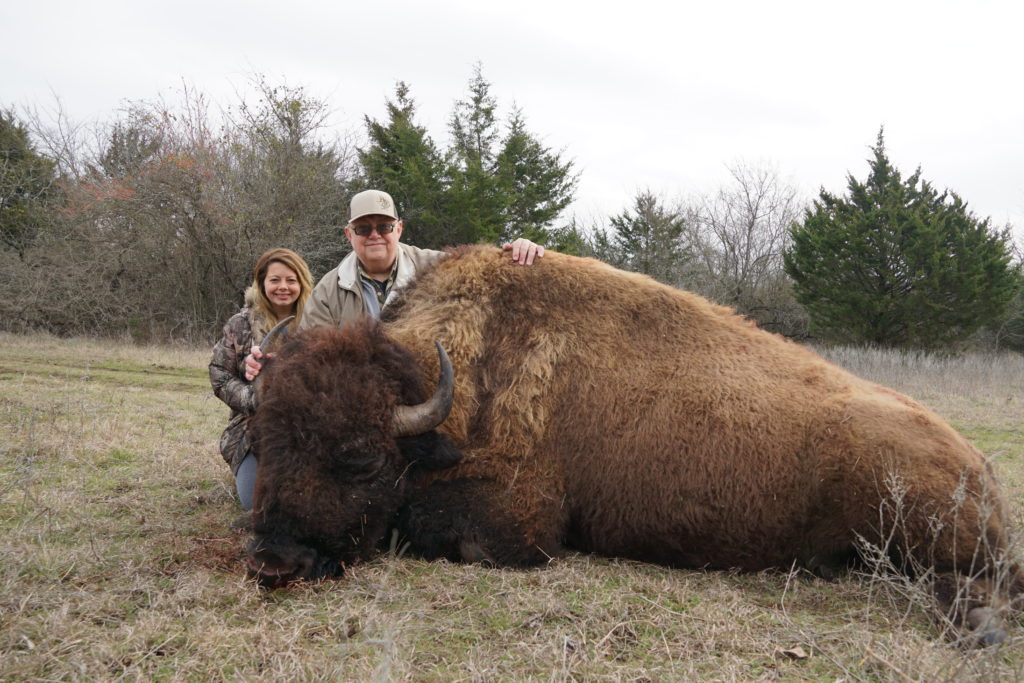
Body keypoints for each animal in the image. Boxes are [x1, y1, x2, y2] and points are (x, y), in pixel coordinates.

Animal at [246, 245, 1020, 644]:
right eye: (267, 442)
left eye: (362, 458)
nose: (275, 563)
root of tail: (979, 467)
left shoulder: (516, 525)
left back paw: (977, 625)